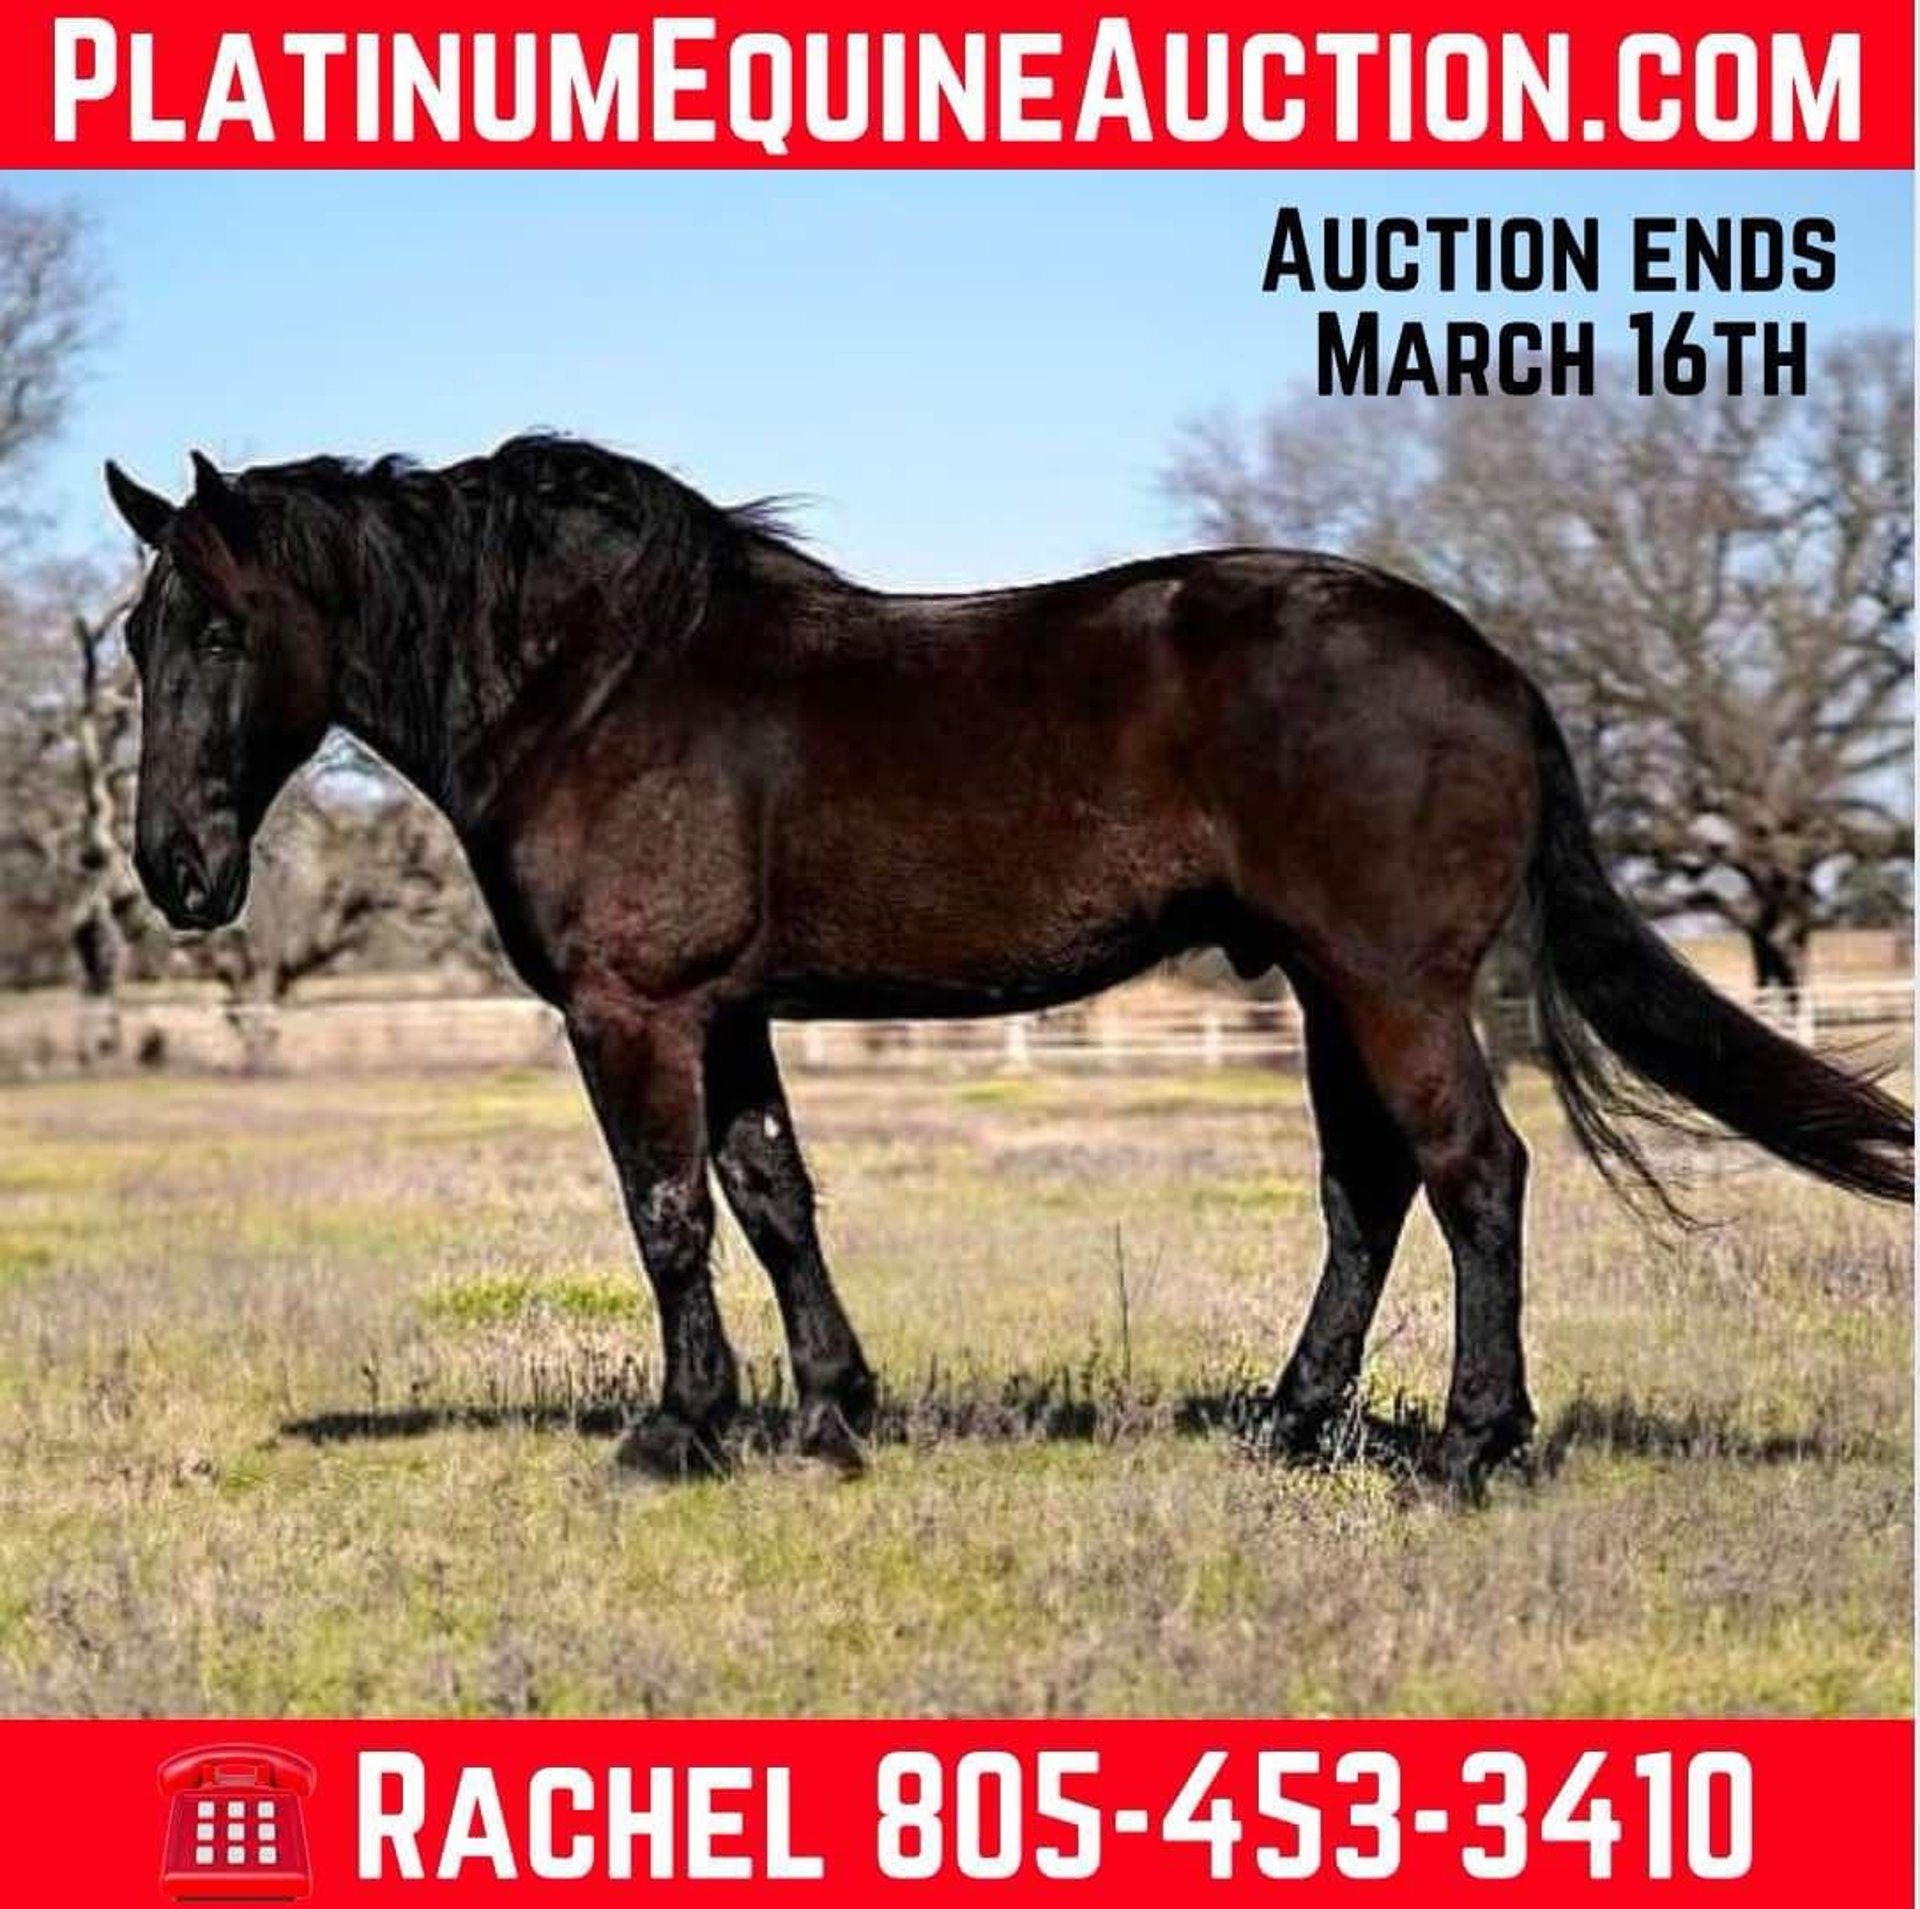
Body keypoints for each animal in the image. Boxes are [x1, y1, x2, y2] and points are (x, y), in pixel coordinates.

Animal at [103, 437, 1912, 1496]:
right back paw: (1289, 1421)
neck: (598, 686)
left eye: (217, 628)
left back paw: (1471, 1446)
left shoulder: (638, 1011)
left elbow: (670, 1213)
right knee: (1369, 1190)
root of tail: (1491, 662)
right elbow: (774, 1197)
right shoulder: (730, 1012)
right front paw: (834, 1416)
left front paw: (680, 1432)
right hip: (1331, 987)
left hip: (1392, 983)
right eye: (132, 636)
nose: (175, 869)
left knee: (1476, 1173)